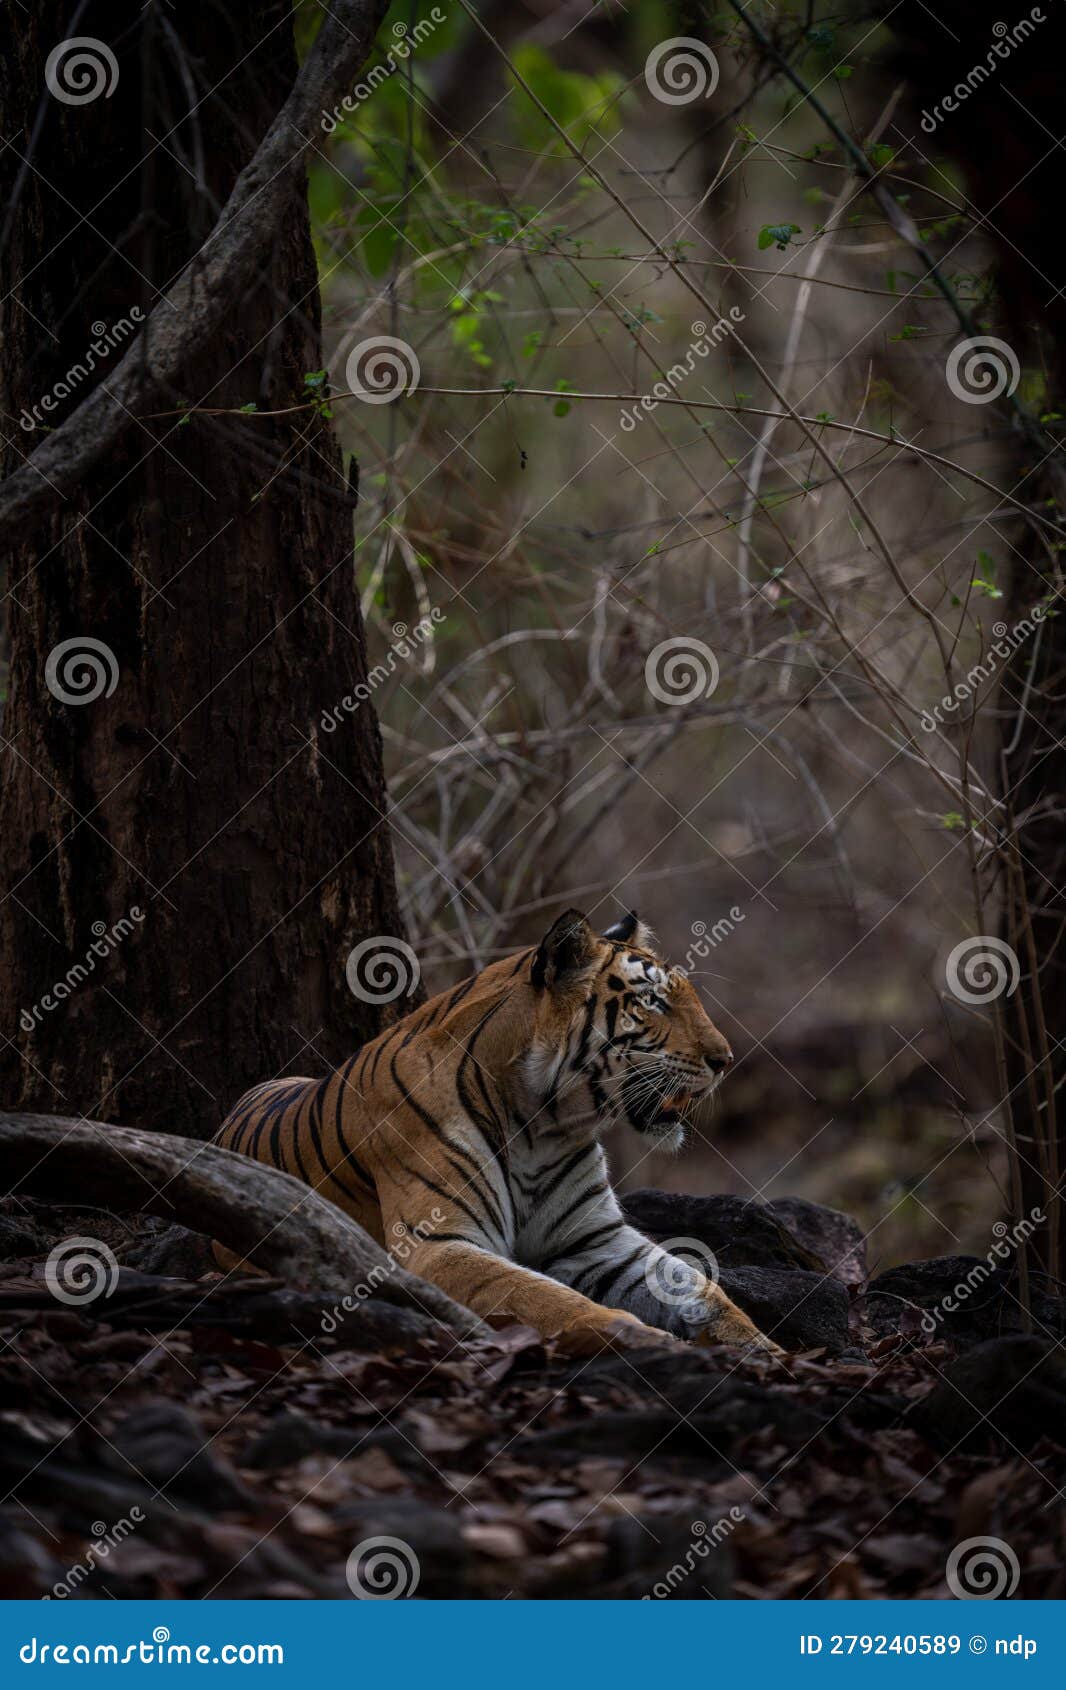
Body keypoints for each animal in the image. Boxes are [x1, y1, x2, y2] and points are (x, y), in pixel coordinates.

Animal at [215, 909, 780, 1354]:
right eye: (653, 1003)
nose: (726, 1060)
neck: (544, 1126)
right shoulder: (437, 1243)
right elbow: (541, 1295)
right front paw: (640, 1336)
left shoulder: (596, 1240)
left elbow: (702, 1290)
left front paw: (768, 1352)